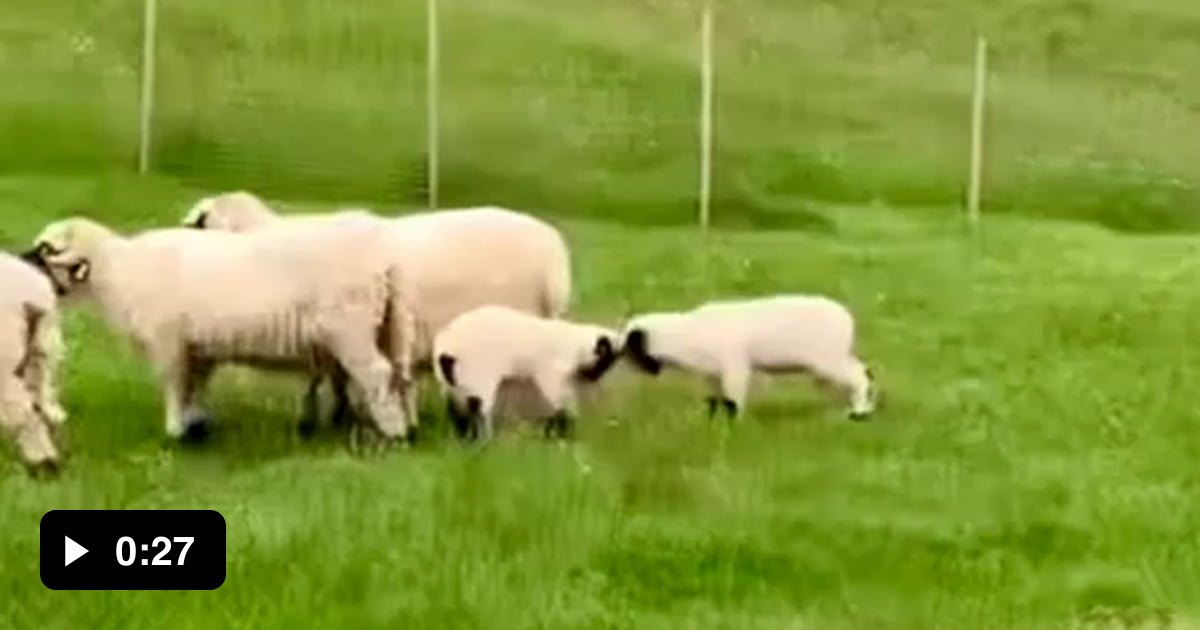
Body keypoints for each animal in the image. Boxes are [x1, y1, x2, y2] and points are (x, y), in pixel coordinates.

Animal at [25, 216, 417, 444]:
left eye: (47, 248)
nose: (19, 261)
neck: (118, 270)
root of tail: (383, 262)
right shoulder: (198, 346)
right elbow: (197, 384)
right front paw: (197, 424)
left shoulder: (169, 340)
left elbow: (175, 384)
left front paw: (175, 431)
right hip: (387, 327)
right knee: (397, 374)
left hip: (350, 328)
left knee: (378, 374)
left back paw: (394, 434)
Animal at [181, 191, 572, 436]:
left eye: (199, 224)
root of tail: (554, 247)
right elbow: (333, 379)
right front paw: (335, 418)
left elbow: (326, 378)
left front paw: (321, 421)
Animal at [433, 305, 619, 442]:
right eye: (606, 359)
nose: (594, 377)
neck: (572, 344)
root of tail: (447, 352)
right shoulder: (551, 375)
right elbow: (562, 408)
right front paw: (562, 435)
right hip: (478, 378)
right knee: (478, 410)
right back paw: (483, 442)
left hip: (453, 385)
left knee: (458, 409)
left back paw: (467, 440)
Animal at [620, 295, 876, 420]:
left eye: (630, 348)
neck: (685, 338)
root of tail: (847, 318)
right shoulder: (713, 374)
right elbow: (716, 399)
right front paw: (712, 422)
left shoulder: (734, 366)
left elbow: (733, 399)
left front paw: (734, 423)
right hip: (833, 359)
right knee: (863, 371)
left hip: (827, 359)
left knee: (859, 376)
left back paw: (859, 412)